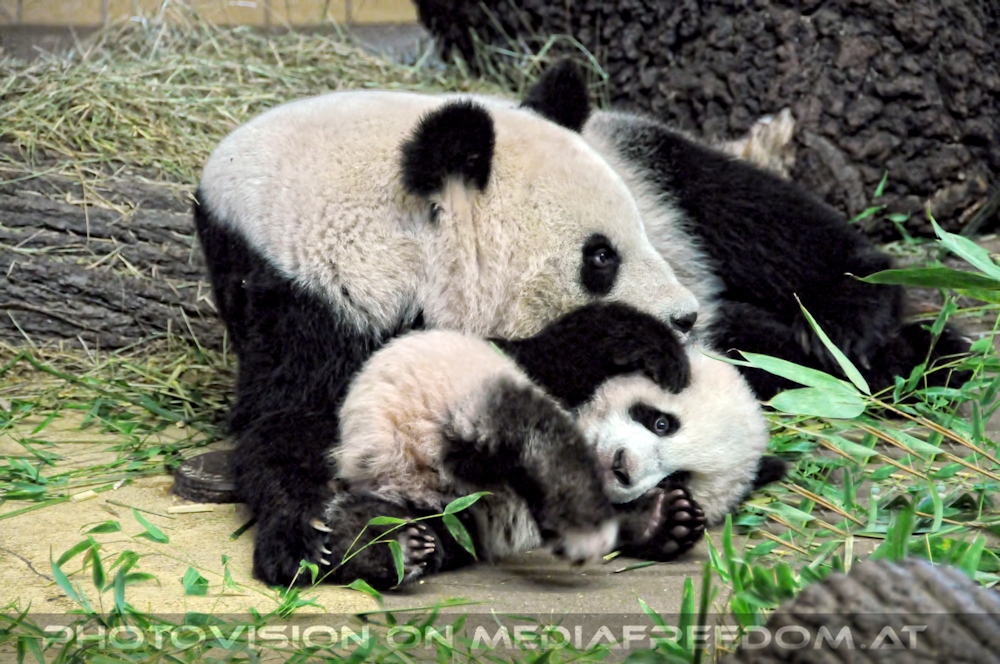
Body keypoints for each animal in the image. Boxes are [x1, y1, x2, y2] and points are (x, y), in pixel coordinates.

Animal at [194, 88, 701, 586]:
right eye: (600, 256)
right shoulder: (310, 306)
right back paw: (371, 543)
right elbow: (311, 417)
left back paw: (657, 518)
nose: (686, 316)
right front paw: (629, 339)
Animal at [326, 301, 782, 590]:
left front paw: (665, 519)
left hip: (449, 508)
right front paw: (659, 351)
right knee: (515, 425)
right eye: (661, 422)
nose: (622, 470)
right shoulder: (518, 363)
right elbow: (566, 347)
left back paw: (390, 545)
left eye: (679, 476)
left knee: (427, 525)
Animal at [516, 61, 972, 399]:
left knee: (750, 212)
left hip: (648, 165)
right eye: (598, 259)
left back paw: (858, 327)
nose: (683, 316)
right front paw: (627, 342)